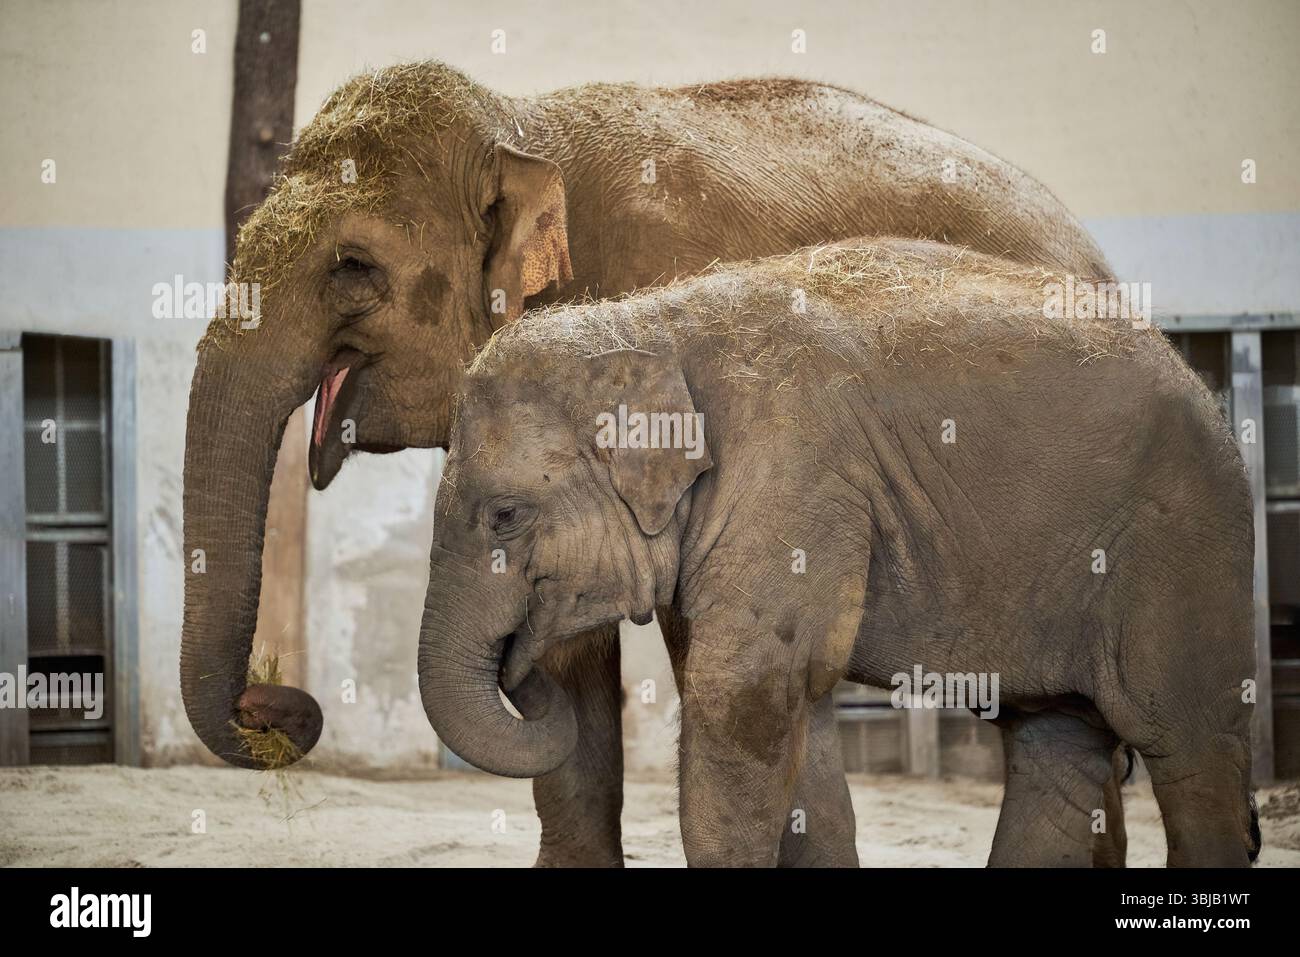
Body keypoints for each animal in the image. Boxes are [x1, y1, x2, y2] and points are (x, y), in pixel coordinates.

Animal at [417, 238, 1261, 868]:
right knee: (1055, 742)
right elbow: (801, 723)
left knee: (1186, 746)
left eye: (504, 515)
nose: (523, 662)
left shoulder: (796, 479)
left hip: (1181, 544)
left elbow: (742, 698)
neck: (648, 323)